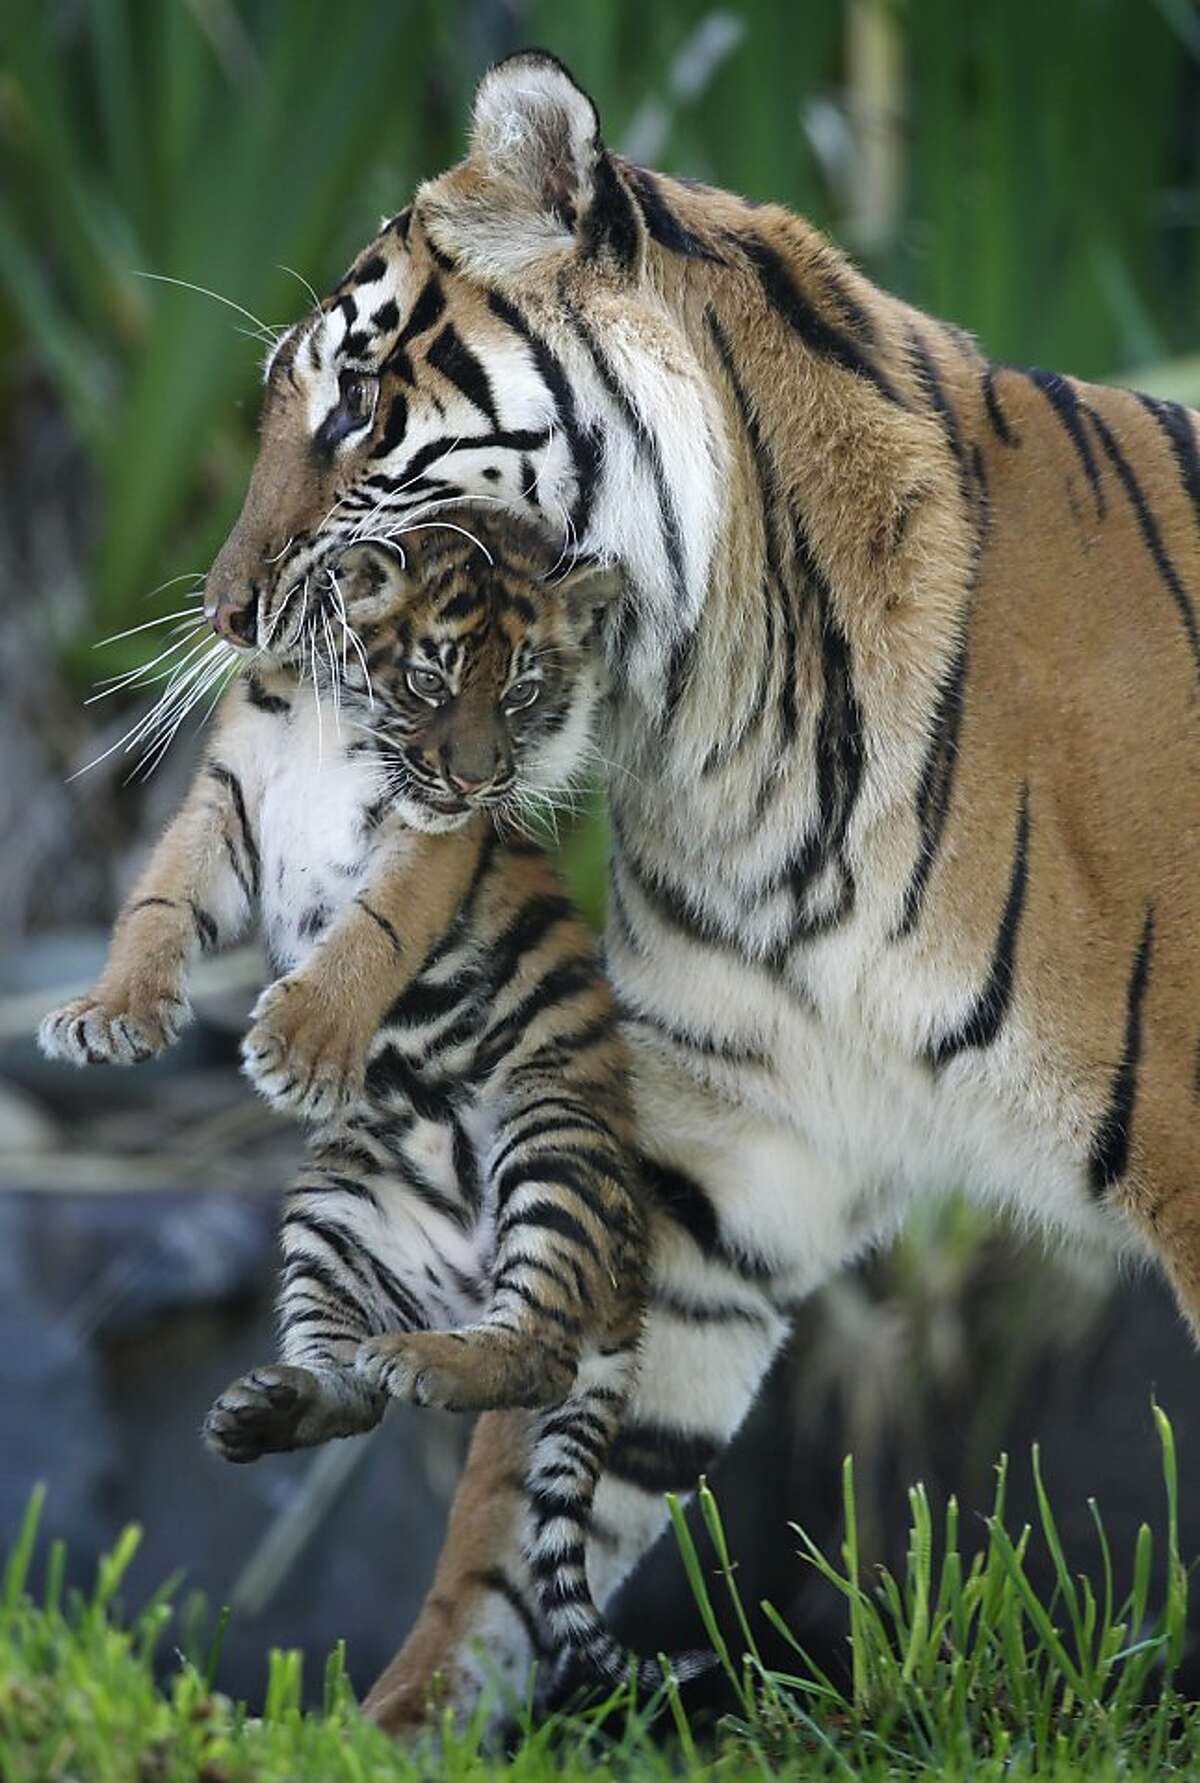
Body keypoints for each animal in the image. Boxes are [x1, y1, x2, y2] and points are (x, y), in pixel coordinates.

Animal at [38, 510, 707, 1693]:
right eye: (431, 676)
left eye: (526, 690)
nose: (483, 777)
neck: (322, 710)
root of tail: (629, 1277)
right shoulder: (223, 806)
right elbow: (155, 903)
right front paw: (112, 1013)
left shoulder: (421, 841)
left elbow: (372, 933)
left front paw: (302, 1046)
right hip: (333, 1204)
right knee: (350, 1385)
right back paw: (272, 1406)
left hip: (553, 1145)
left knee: (536, 1347)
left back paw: (435, 1360)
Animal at [139, 48, 1200, 1735]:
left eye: (358, 405)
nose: (227, 614)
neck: (729, 735)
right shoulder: (720, 1159)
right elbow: (519, 1514)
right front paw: (398, 1731)